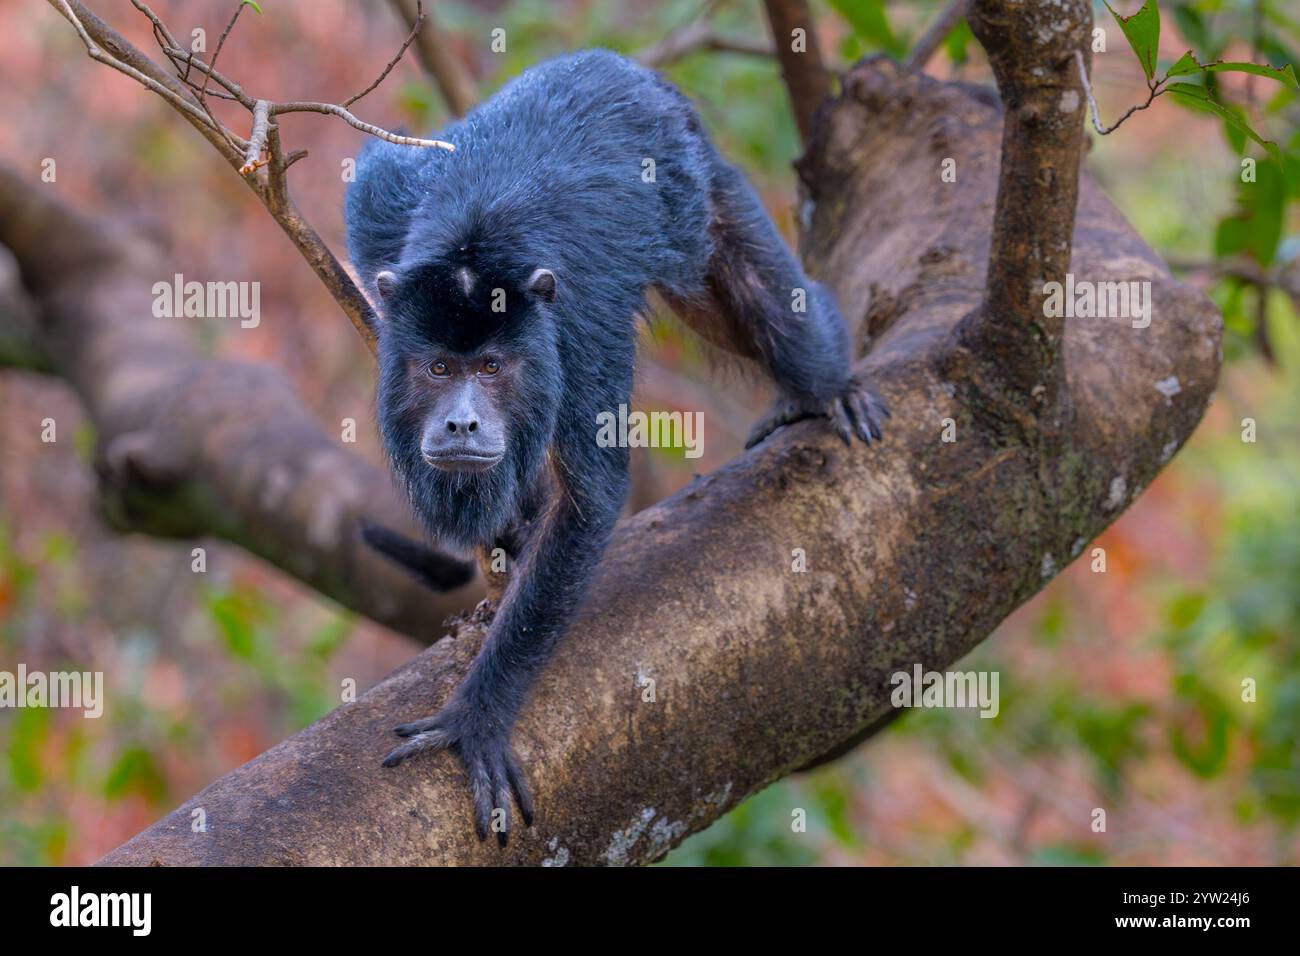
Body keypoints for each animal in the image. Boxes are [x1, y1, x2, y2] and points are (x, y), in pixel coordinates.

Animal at [345, 49, 887, 846]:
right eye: (439, 368)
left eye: (492, 368)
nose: (463, 424)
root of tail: (619, 69)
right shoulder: (385, 213)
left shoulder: (572, 325)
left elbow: (591, 497)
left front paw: (478, 718)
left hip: (699, 185)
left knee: (778, 318)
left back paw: (831, 384)